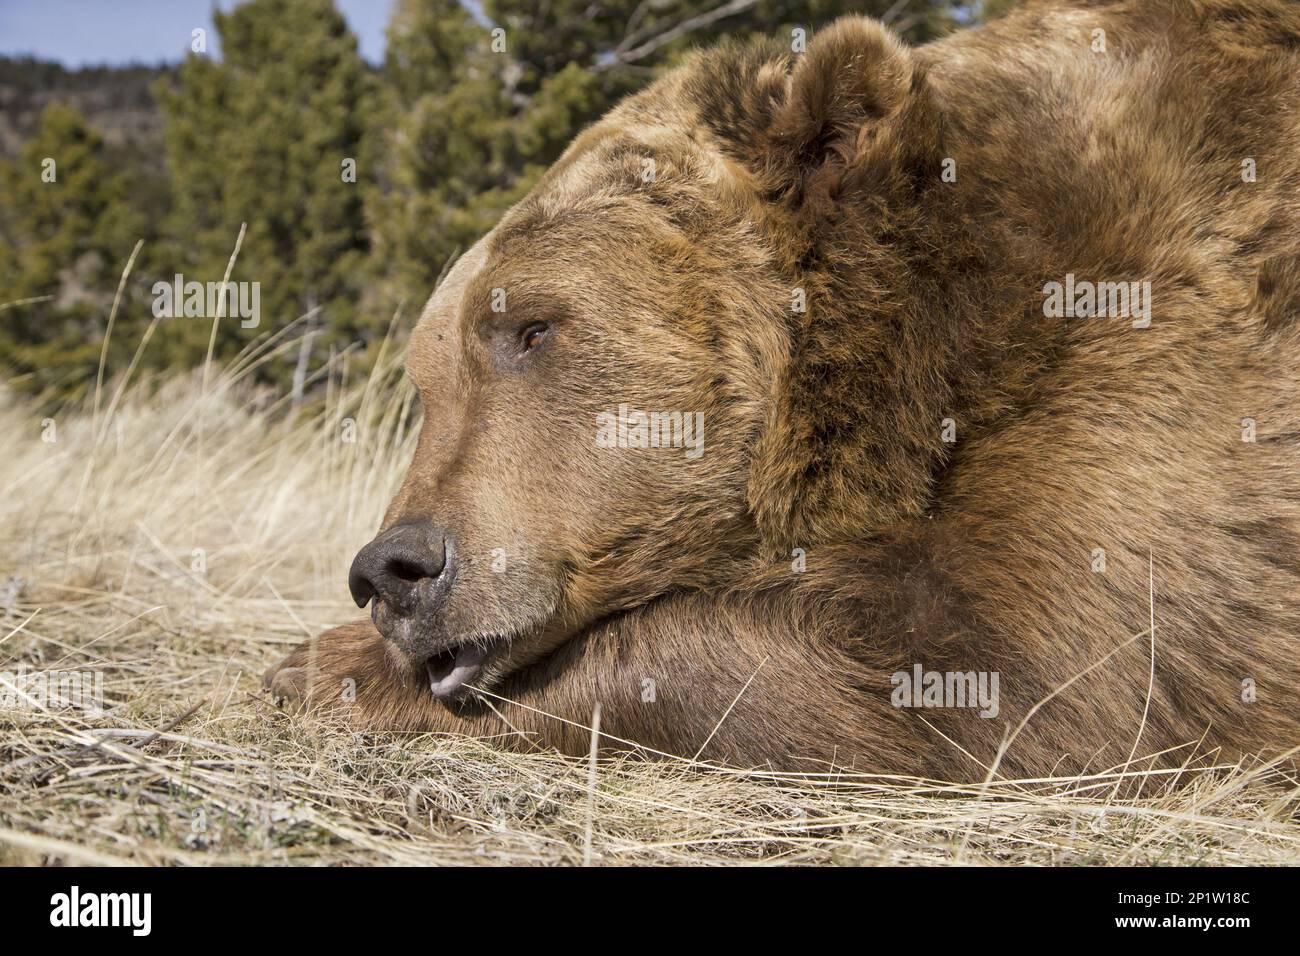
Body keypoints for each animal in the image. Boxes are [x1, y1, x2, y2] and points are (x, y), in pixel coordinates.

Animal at [266, 0, 1300, 779]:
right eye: (428, 378)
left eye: (532, 328)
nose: (392, 571)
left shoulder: (1158, 348)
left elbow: (1015, 666)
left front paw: (319, 666)